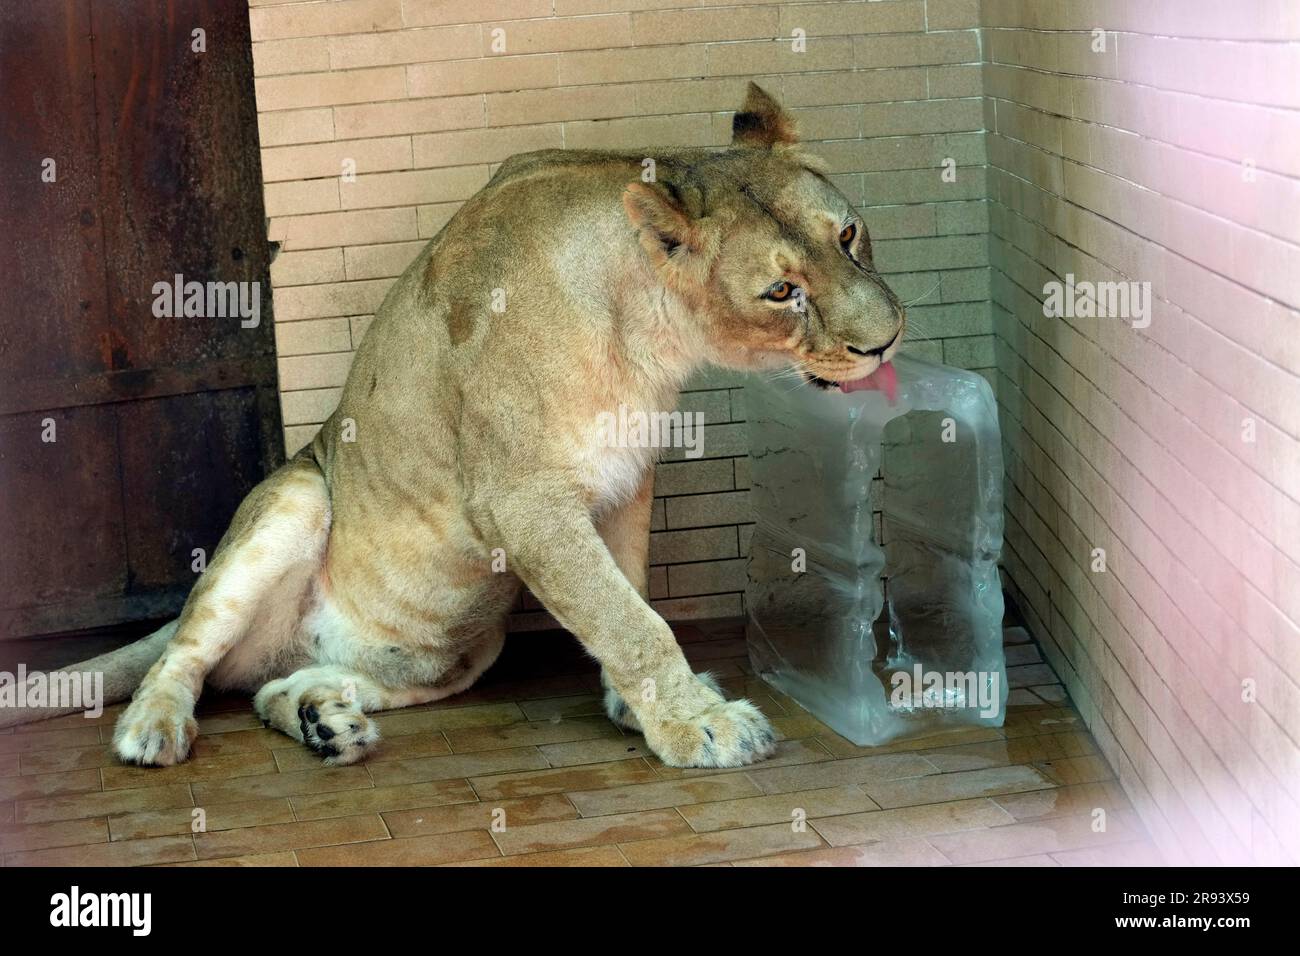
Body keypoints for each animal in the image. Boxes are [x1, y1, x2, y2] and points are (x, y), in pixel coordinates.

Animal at [2, 84, 904, 769]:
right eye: (781, 292)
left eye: (848, 234)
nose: (888, 338)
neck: (645, 329)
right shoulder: (525, 503)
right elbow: (627, 618)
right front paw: (702, 724)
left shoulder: (625, 478)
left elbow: (629, 587)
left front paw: (643, 707)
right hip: (296, 497)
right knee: (185, 654)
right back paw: (151, 731)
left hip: (463, 651)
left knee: (267, 684)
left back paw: (321, 716)